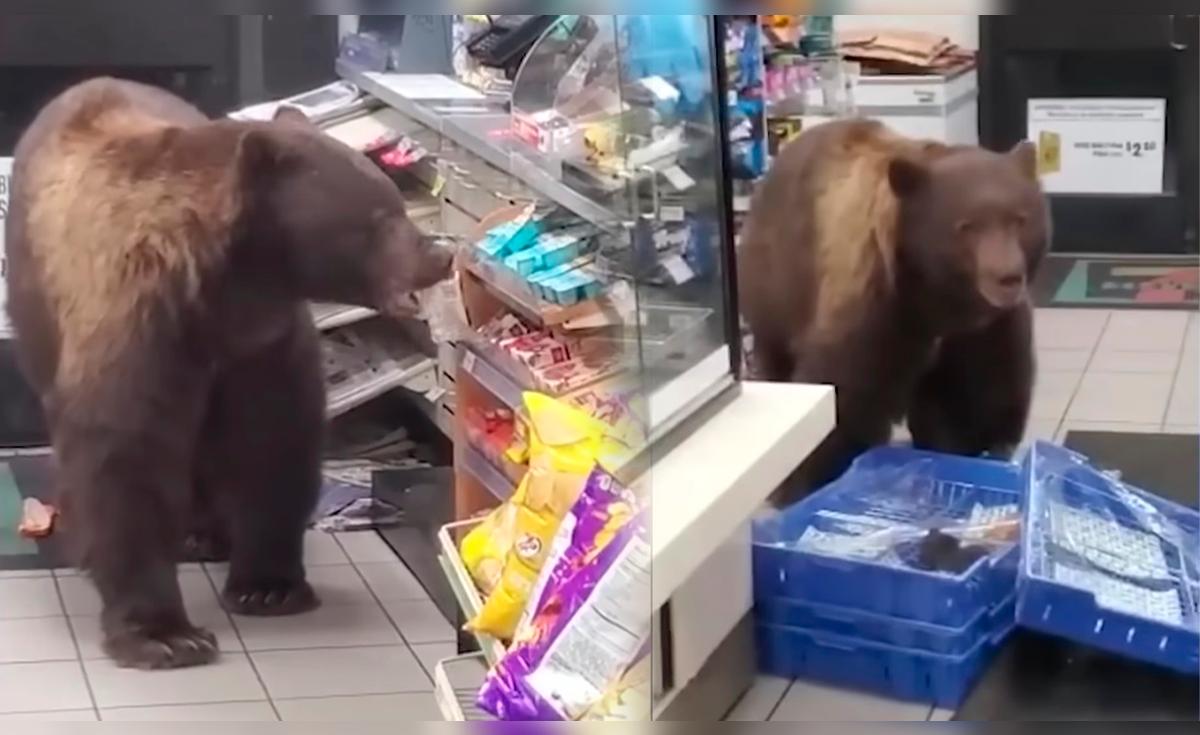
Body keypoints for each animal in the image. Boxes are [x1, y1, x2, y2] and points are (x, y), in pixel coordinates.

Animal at [4, 77, 454, 669]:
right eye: (381, 215)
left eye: (396, 202)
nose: (441, 255)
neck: (218, 291)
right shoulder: (136, 330)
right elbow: (125, 460)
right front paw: (165, 634)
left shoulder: (262, 345)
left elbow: (272, 442)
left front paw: (269, 586)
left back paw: (206, 534)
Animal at [738, 119, 1048, 506]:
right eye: (967, 226)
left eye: (1019, 219)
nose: (1007, 276)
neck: (936, 300)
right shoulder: (876, 314)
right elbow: (843, 404)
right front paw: (818, 479)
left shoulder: (981, 334)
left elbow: (976, 402)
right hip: (775, 292)